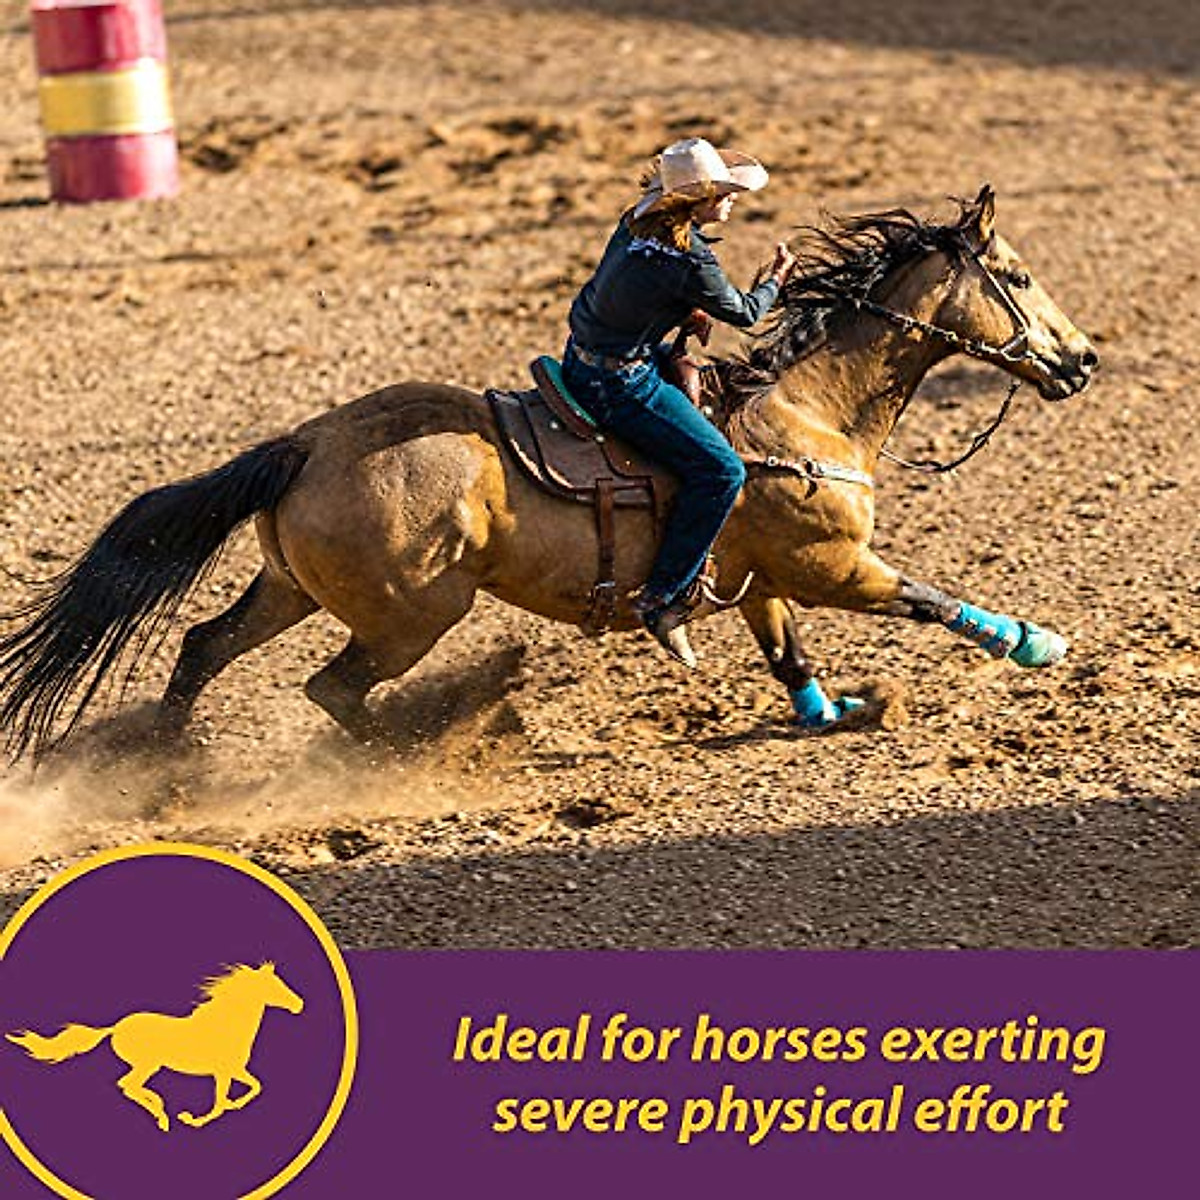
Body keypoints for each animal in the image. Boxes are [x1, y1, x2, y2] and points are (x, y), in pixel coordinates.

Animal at [0, 185, 1096, 759]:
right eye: (1019, 275)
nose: (1082, 360)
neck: (803, 408)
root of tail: (306, 443)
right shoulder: (833, 567)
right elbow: (929, 599)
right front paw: (1034, 643)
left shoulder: (765, 579)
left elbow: (790, 659)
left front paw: (840, 712)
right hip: (411, 615)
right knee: (332, 692)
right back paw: (429, 742)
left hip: (290, 587)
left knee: (202, 647)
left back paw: (164, 771)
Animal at [6, 962, 304, 1131]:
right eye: (274, 987)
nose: (299, 1004)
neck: (227, 1025)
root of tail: (115, 1027)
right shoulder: (222, 1072)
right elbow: (219, 1103)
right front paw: (193, 1119)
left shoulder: (234, 1070)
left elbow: (254, 1087)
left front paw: (232, 1105)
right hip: (148, 1064)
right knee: (128, 1085)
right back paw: (162, 1114)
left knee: (128, 1086)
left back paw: (160, 1110)